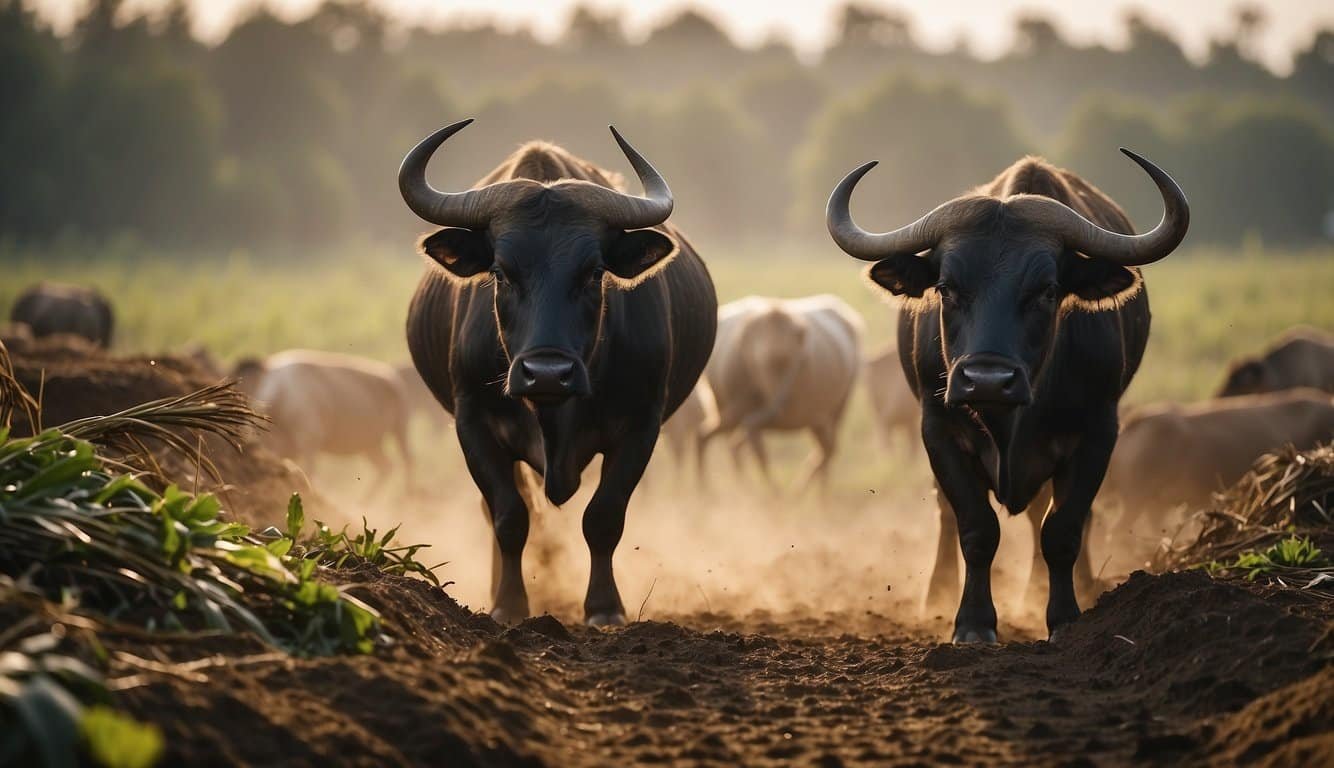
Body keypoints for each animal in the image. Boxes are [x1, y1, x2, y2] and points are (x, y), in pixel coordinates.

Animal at [400, 120, 717, 625]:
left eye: (594, 273)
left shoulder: (642, 424)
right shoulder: (472, 422)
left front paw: (604, 607)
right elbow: (510, 516)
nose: (547, 373)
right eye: (500, 272)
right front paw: (509, 605)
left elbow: (604, 517)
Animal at [828, 150, 1189, 642]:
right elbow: (976, 529)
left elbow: (1063, 530)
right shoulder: (938, 430)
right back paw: (937, 594)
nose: (986, 380)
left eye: (1048, 290)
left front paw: (1064, 617)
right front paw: (973, 624)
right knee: (947, 514)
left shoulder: (1098, 432)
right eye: (946, 288)